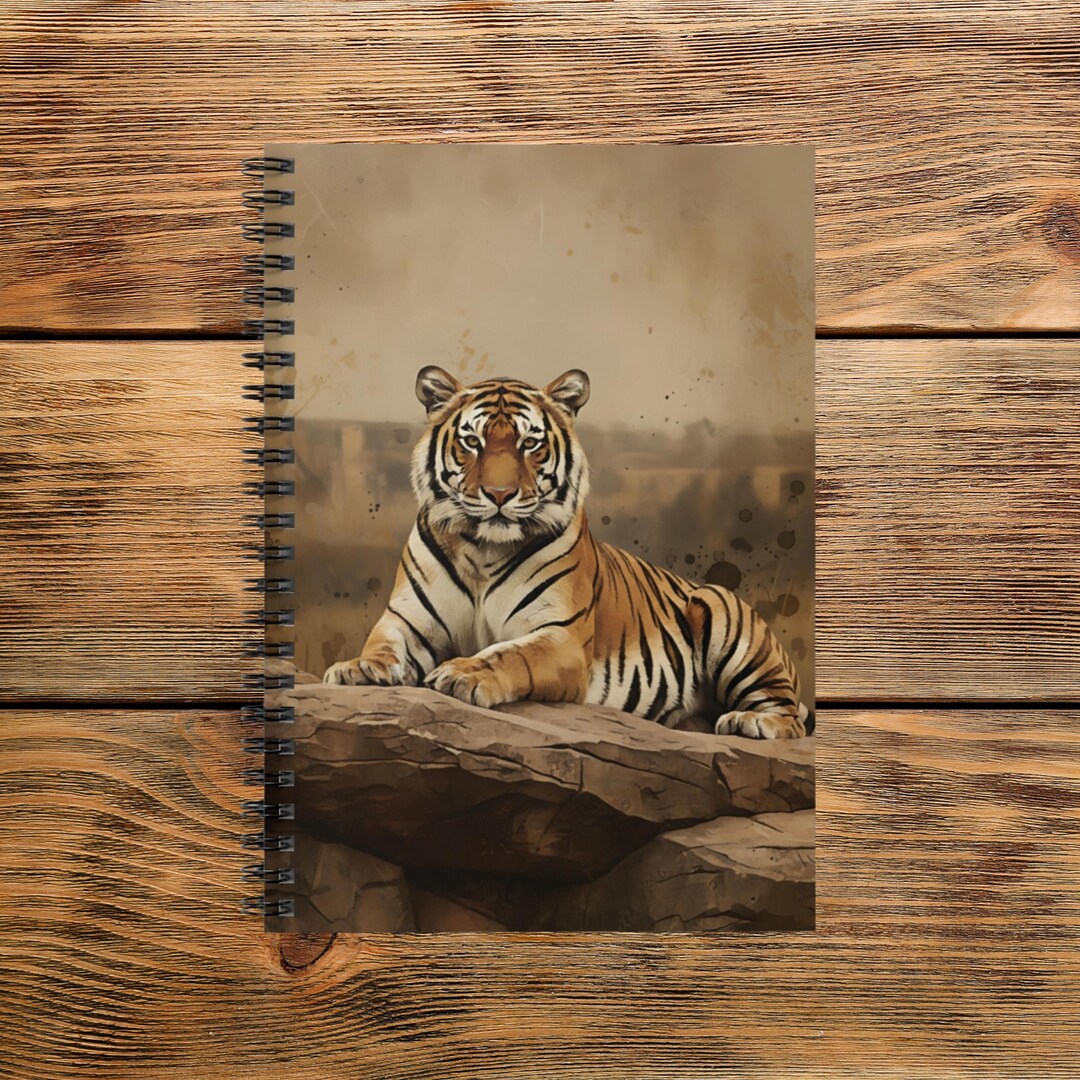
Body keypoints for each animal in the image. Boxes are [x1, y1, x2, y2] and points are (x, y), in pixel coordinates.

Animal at [323, 366, 813, 739]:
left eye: (530, 444)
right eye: (473, 442)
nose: (499, 494)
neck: (484, 549)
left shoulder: (559, 636)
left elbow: (508, 653)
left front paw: (464, 673)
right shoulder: (408, 620)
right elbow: (382, 645)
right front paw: (357, 668)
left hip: (722, 611)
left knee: (788, 716)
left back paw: (750, 722)